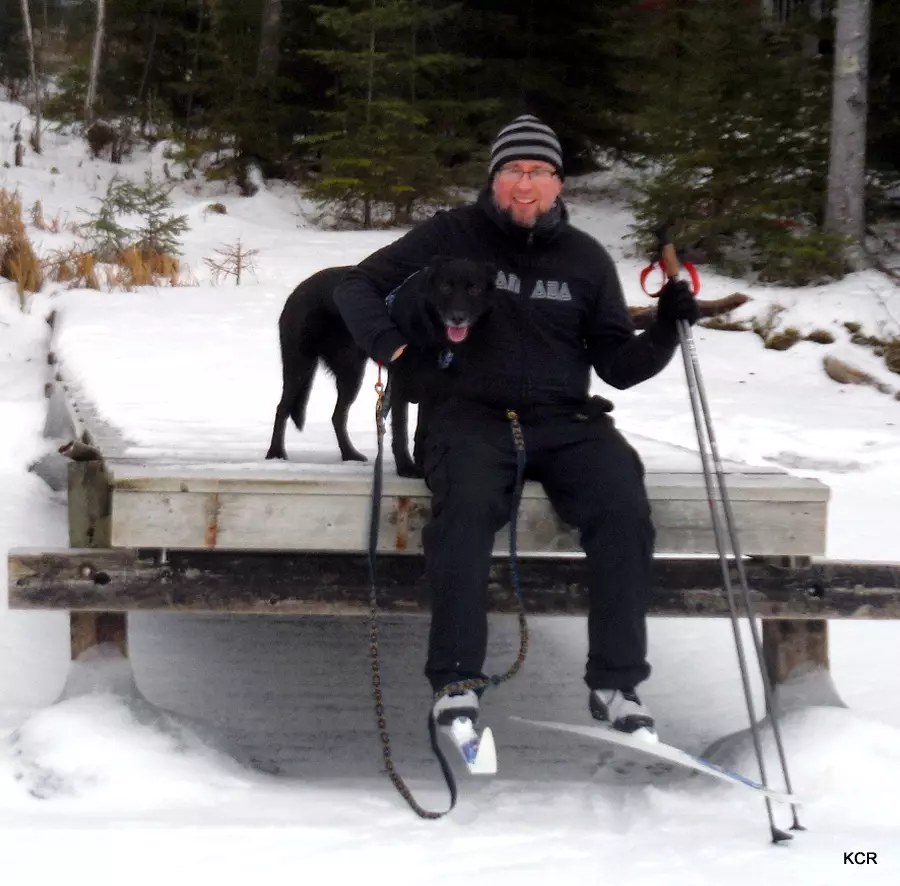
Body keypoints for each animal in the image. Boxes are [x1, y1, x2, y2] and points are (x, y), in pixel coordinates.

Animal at [264, 256, 496, 478]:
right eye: (446, 287)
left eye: (474, 289)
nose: (458, 318)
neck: (430, 332)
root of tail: (299, 288)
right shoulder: (399, 386)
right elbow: (400, 433)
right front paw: (406, 468)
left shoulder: (433, 391)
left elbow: (422, 431)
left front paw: (422, 465)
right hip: (299, 366)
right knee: (282, 408)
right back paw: (276, 454)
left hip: (351, 373)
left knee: (337, 416)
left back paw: (350, 455)